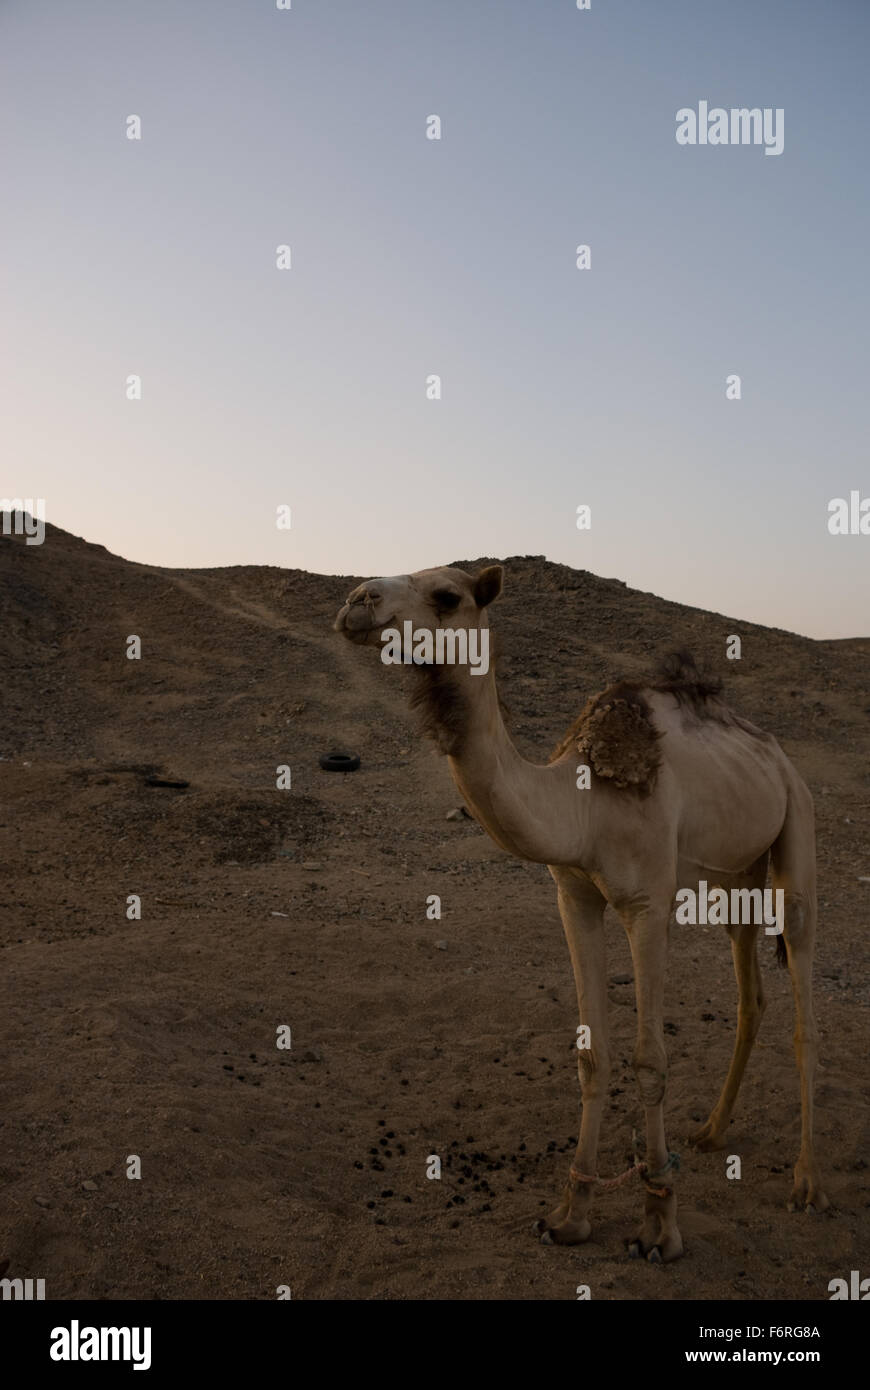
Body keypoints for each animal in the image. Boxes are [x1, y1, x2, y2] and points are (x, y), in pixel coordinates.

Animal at [333, 563, 828, 1261]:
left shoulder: (647, 903)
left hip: (796, 825)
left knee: (803, 996)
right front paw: (571, 1211)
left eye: (447, 596)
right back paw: (710, 1130)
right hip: (737, 872)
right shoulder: (574, 897)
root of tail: (776, 753)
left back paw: (806, 1182)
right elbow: (592, 1056)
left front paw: (660, 1224)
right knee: (750, 991)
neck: (583, 806)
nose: (357, 601)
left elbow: (650, 1061)